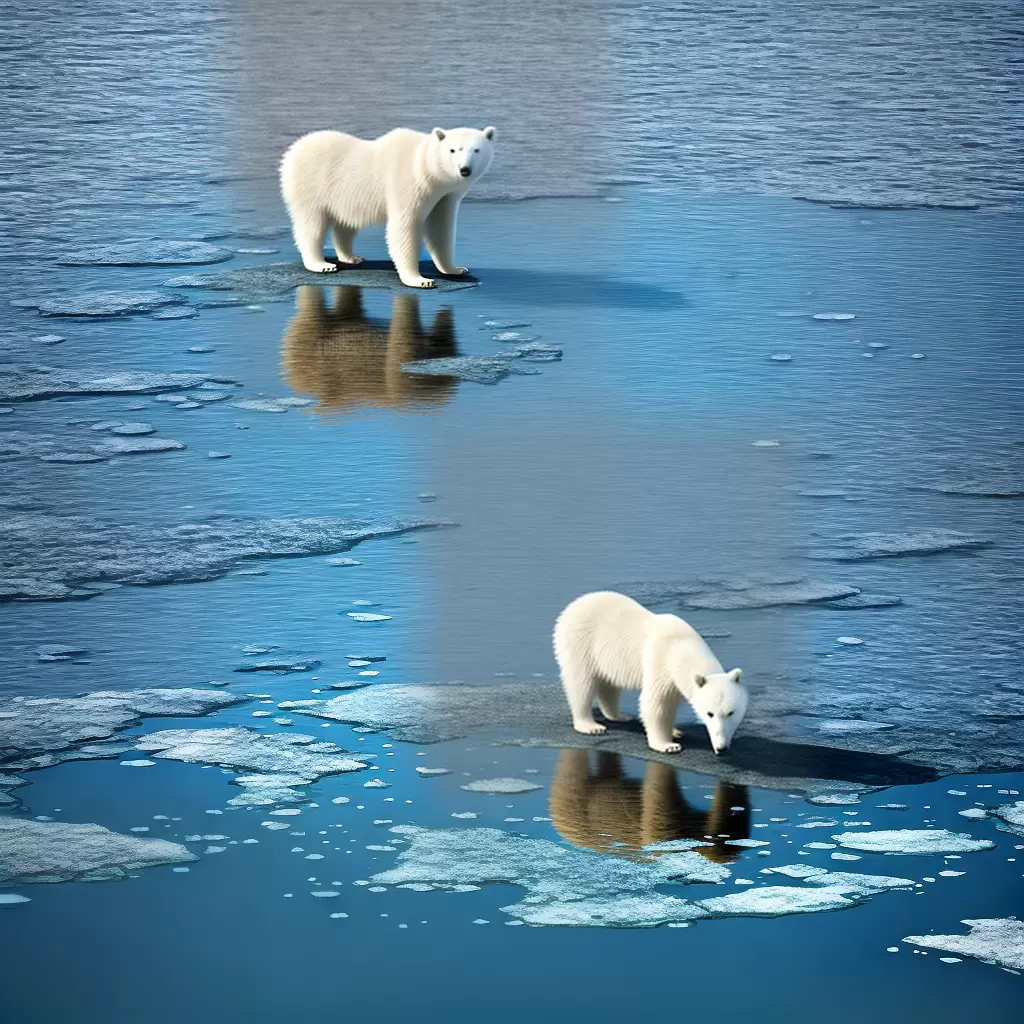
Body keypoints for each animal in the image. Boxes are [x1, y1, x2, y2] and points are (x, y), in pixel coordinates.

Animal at [279, 125, 496, 289]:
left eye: (477, 150)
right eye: (453, 150)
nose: (465, 169)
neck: (423, 166)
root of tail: (294, 149)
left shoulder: (445, 196)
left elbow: (439, 229)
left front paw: (455, 269)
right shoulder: (408, 184)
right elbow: (405, 228)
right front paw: (420, 279)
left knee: (346, 224)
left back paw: (351, 257)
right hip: (312, 183)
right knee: (312, 223)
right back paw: (321, 264)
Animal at [553, 590, 748, 755]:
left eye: (731, 712)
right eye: (709, 713)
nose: (721, 748)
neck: (680, 644)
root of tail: (573, 606)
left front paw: (675, 731)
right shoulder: (659, 662)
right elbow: (656, 703)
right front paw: (667, 745)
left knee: (608, 683)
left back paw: (619, 715)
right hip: (581, 643)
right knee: (581, 683)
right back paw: (589, 725)